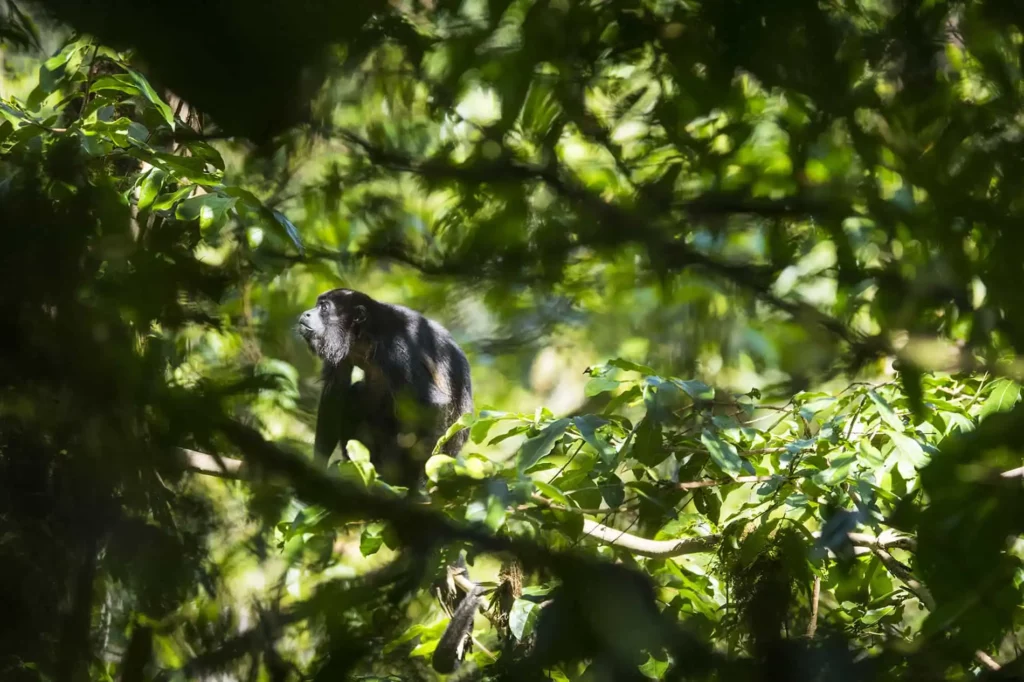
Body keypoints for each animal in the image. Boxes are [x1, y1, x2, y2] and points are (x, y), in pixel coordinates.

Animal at [297, 287, 474, 490]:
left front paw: (416, 490)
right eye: (317, 305)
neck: (365, 335)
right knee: (356, 392)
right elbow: (335, 391)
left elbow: (432, 404)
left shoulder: (398, 345)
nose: (306, 313)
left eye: (324, 307)